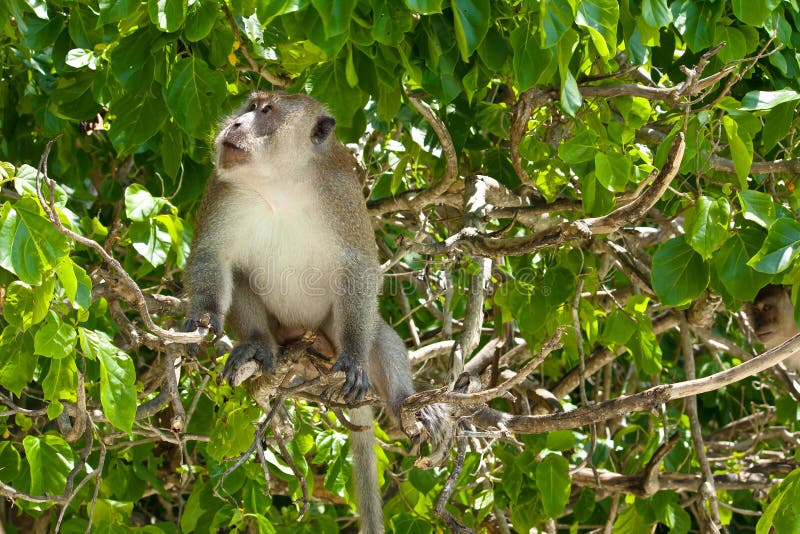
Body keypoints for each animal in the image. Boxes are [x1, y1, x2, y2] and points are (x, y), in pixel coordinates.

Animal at [183, 91, 449, 533]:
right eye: (249, 106)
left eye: (267, 111)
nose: (235, 125)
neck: (281, 182)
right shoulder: (221, 188)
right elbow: (212, 256)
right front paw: (203, 317)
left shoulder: (341, 193)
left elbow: (359, 270)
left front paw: (356, 360)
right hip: (284, 335)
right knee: (239, 277)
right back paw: (257, 346)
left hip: (330, 336)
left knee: (380, 335)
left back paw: (405, 403)